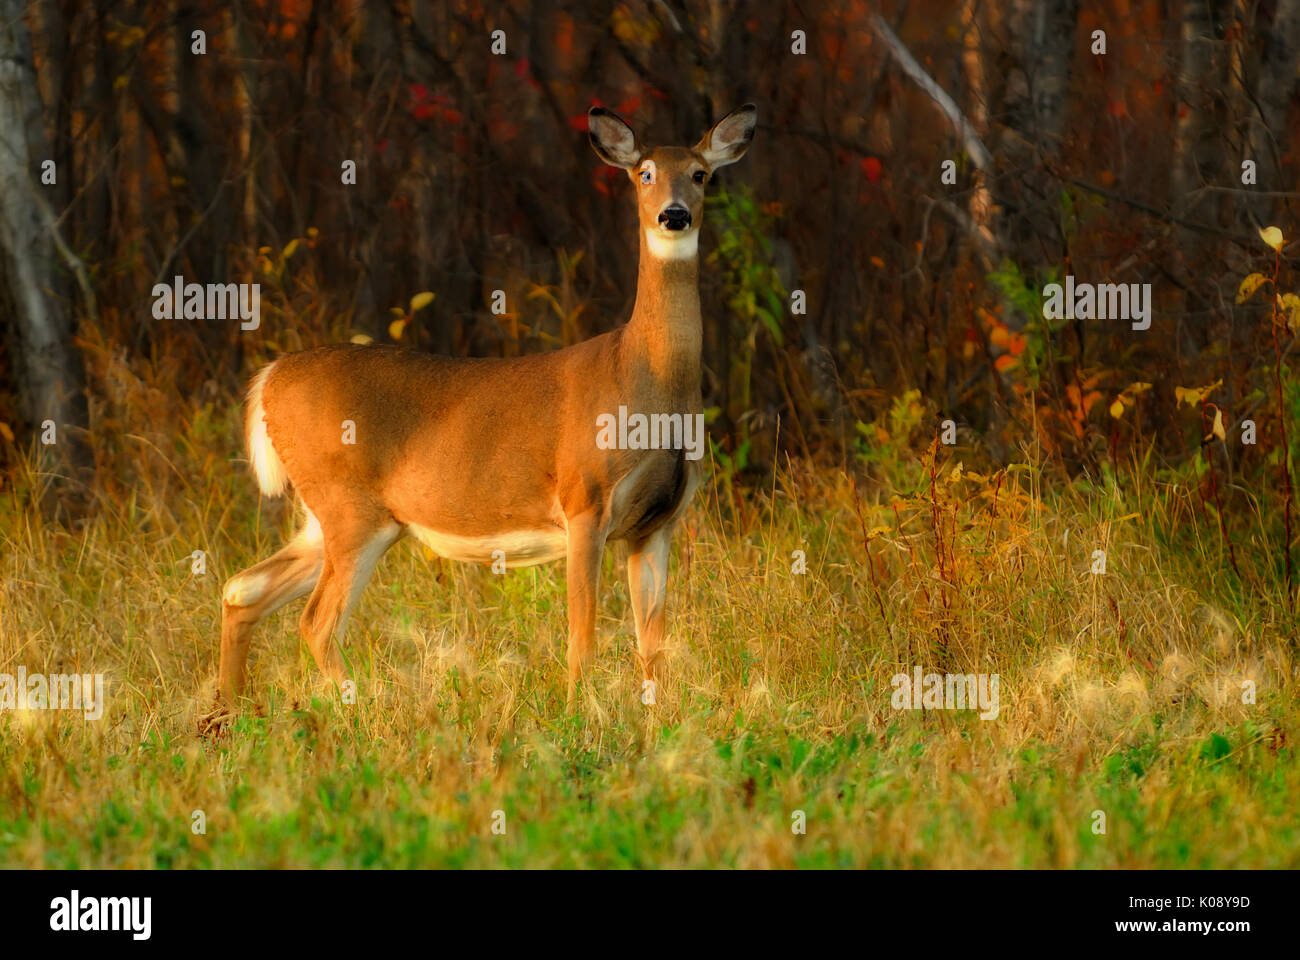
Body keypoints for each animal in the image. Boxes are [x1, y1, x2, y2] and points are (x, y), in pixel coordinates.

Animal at [214, 103, 757, 713]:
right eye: (644, 172)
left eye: (700, 174)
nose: (673, 215)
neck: (646, 381)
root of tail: (270, 378)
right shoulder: (584, 499)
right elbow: (582, 636)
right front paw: (579, 716)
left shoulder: (658, 523)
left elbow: (653, 646)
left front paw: (653, 719)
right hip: (349, 508)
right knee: (315, 622)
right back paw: (363, 709)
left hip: (326, 515)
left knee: (244, 588)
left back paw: (226, 716)